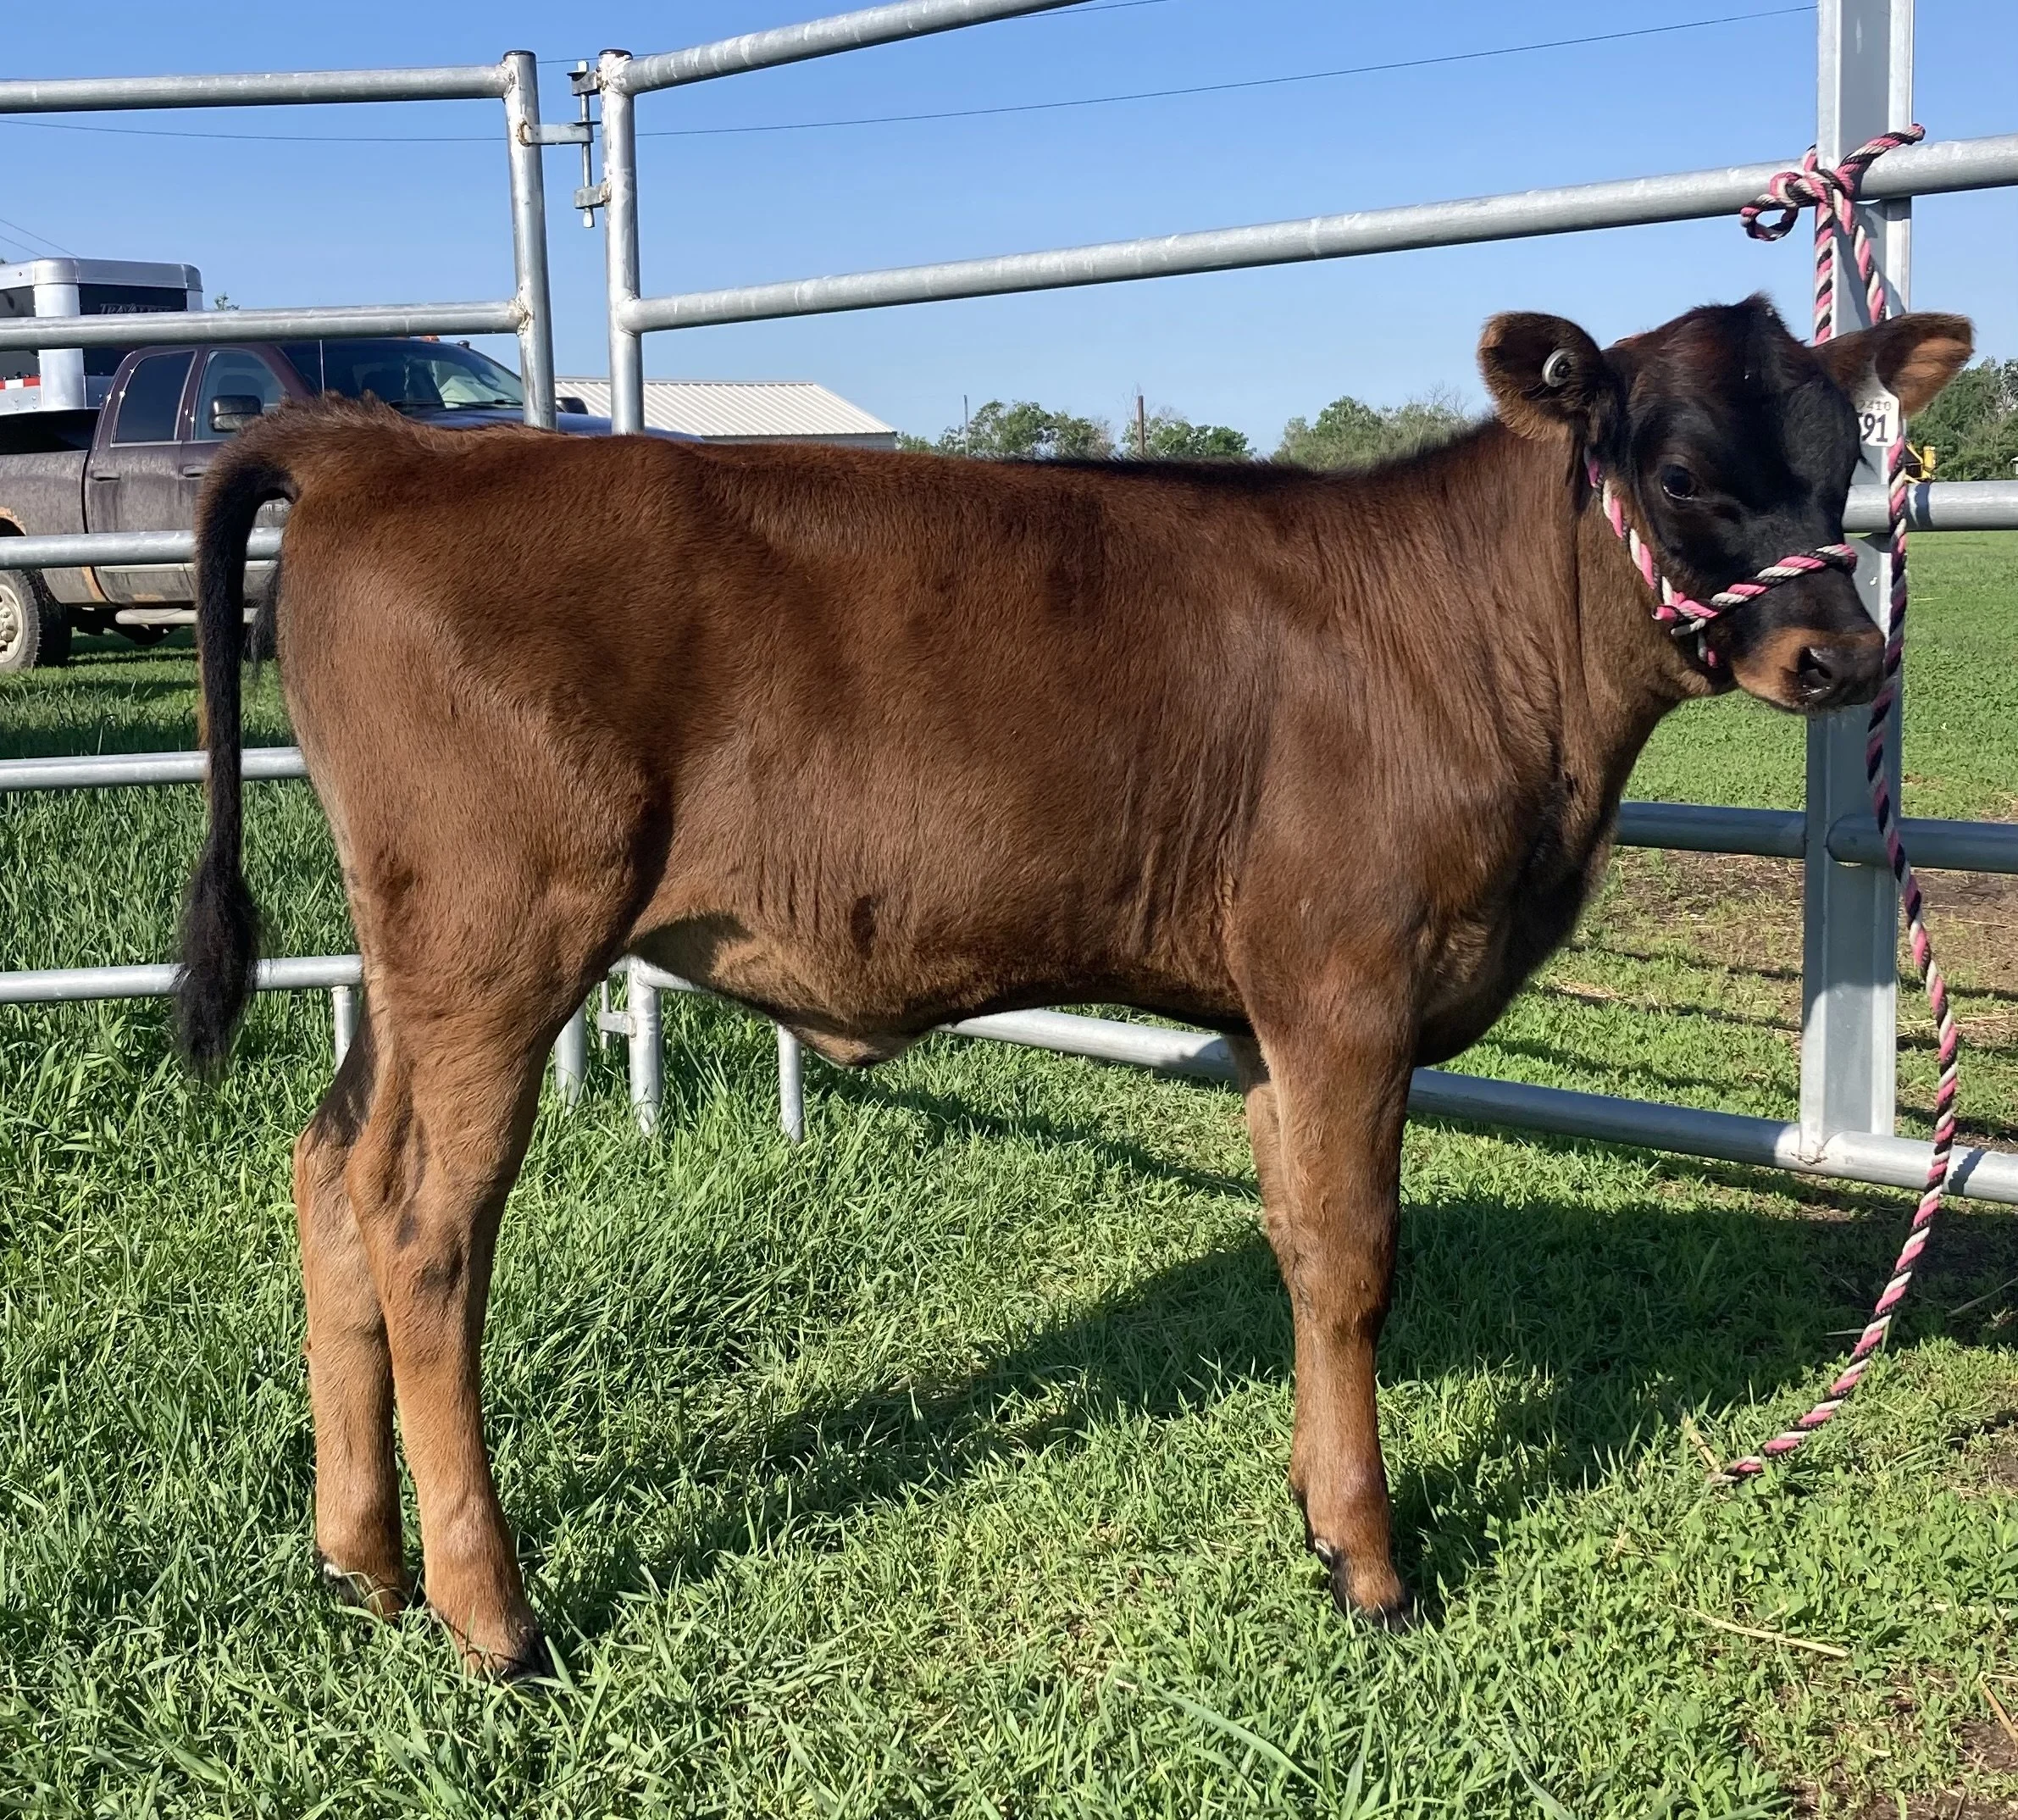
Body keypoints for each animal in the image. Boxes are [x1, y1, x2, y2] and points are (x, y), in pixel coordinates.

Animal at [175, 296, 1972, 1676]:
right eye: (1677, 471)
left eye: (1848, 459)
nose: (1839, 655)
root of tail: (393, 447)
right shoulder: (1346, 988)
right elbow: (1354, 1263)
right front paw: (1376, 1565)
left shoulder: (1267, 1017)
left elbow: (1295, 1246)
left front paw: (1318, 1516)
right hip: (501, 933)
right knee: (429, 1228)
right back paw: (491, 1615)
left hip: (414, 961)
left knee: (332, 1168)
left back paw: (363, 1557)